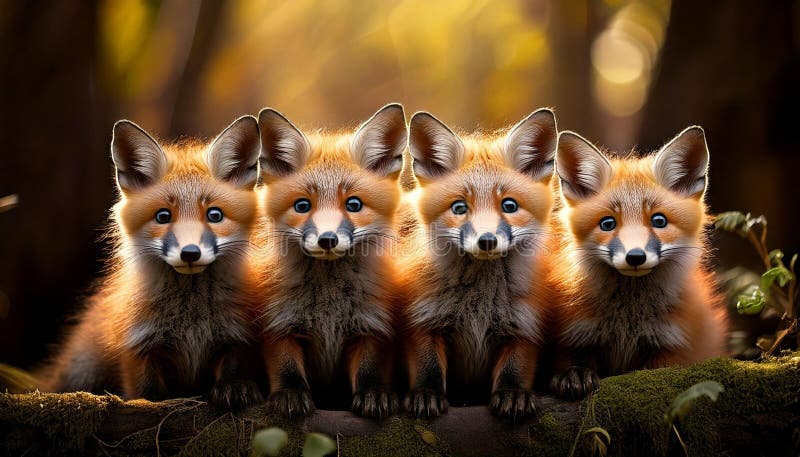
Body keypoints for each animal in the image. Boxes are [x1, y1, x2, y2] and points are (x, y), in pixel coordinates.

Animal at [38, 116, 265, 410]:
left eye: (215, 215)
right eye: (162, 216)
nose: (189, 253)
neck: (191, 323)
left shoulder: (235, 335)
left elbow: (232, 368)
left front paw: (234, 388)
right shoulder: (138, 346)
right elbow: (147, 391)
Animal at [255, 103, 408, 419]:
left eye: (354, 204)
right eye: (303, 205)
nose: (328, 239)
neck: (329, 308)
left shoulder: (370, 324)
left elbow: (369, 368)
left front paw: (373, 394)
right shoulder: (278, 323)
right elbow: (286, 367)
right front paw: (290, 394)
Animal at [401, 109, 558, 419]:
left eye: (509, 205)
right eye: (459, 207)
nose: (487, 241)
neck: (479, 306)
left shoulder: (524, 326)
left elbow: (515, 368)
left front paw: (513, 395)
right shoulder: (423, 320)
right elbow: (428, 366)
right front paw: (426, 395)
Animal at [548, 126, 728, 400]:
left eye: (659, 221)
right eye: (607, 223)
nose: (635, 256)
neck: (628, 322)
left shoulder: (672, 345)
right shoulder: (576, 334)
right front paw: (575, 374)